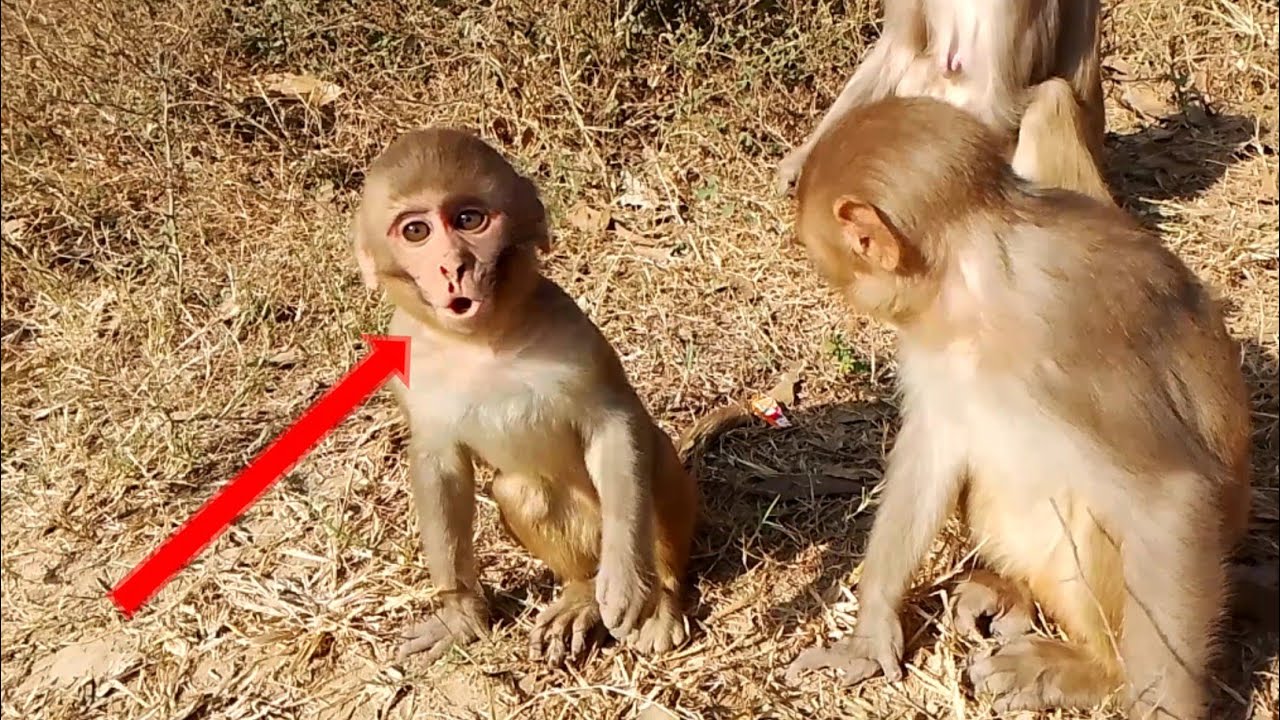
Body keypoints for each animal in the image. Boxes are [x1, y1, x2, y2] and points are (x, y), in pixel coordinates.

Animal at [352, 127, 697, 666]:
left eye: (468, 220)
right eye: (416, 232)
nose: (453, 267)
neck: (481, 344)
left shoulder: (574, 332)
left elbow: (615, 426)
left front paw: (630, 579)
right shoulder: (405, 355)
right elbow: (439, 464)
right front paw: (459, 615)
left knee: (652, 456)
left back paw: (660, 595)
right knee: (521, 489)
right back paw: (580, 594)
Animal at [782, 96, 1251, 720]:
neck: (976, 274)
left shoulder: (1064, 330)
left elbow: (1170, 497)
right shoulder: (933, 332)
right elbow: (936, 441)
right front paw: (871, 631)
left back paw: (1096, 672)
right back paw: (1008, 590)